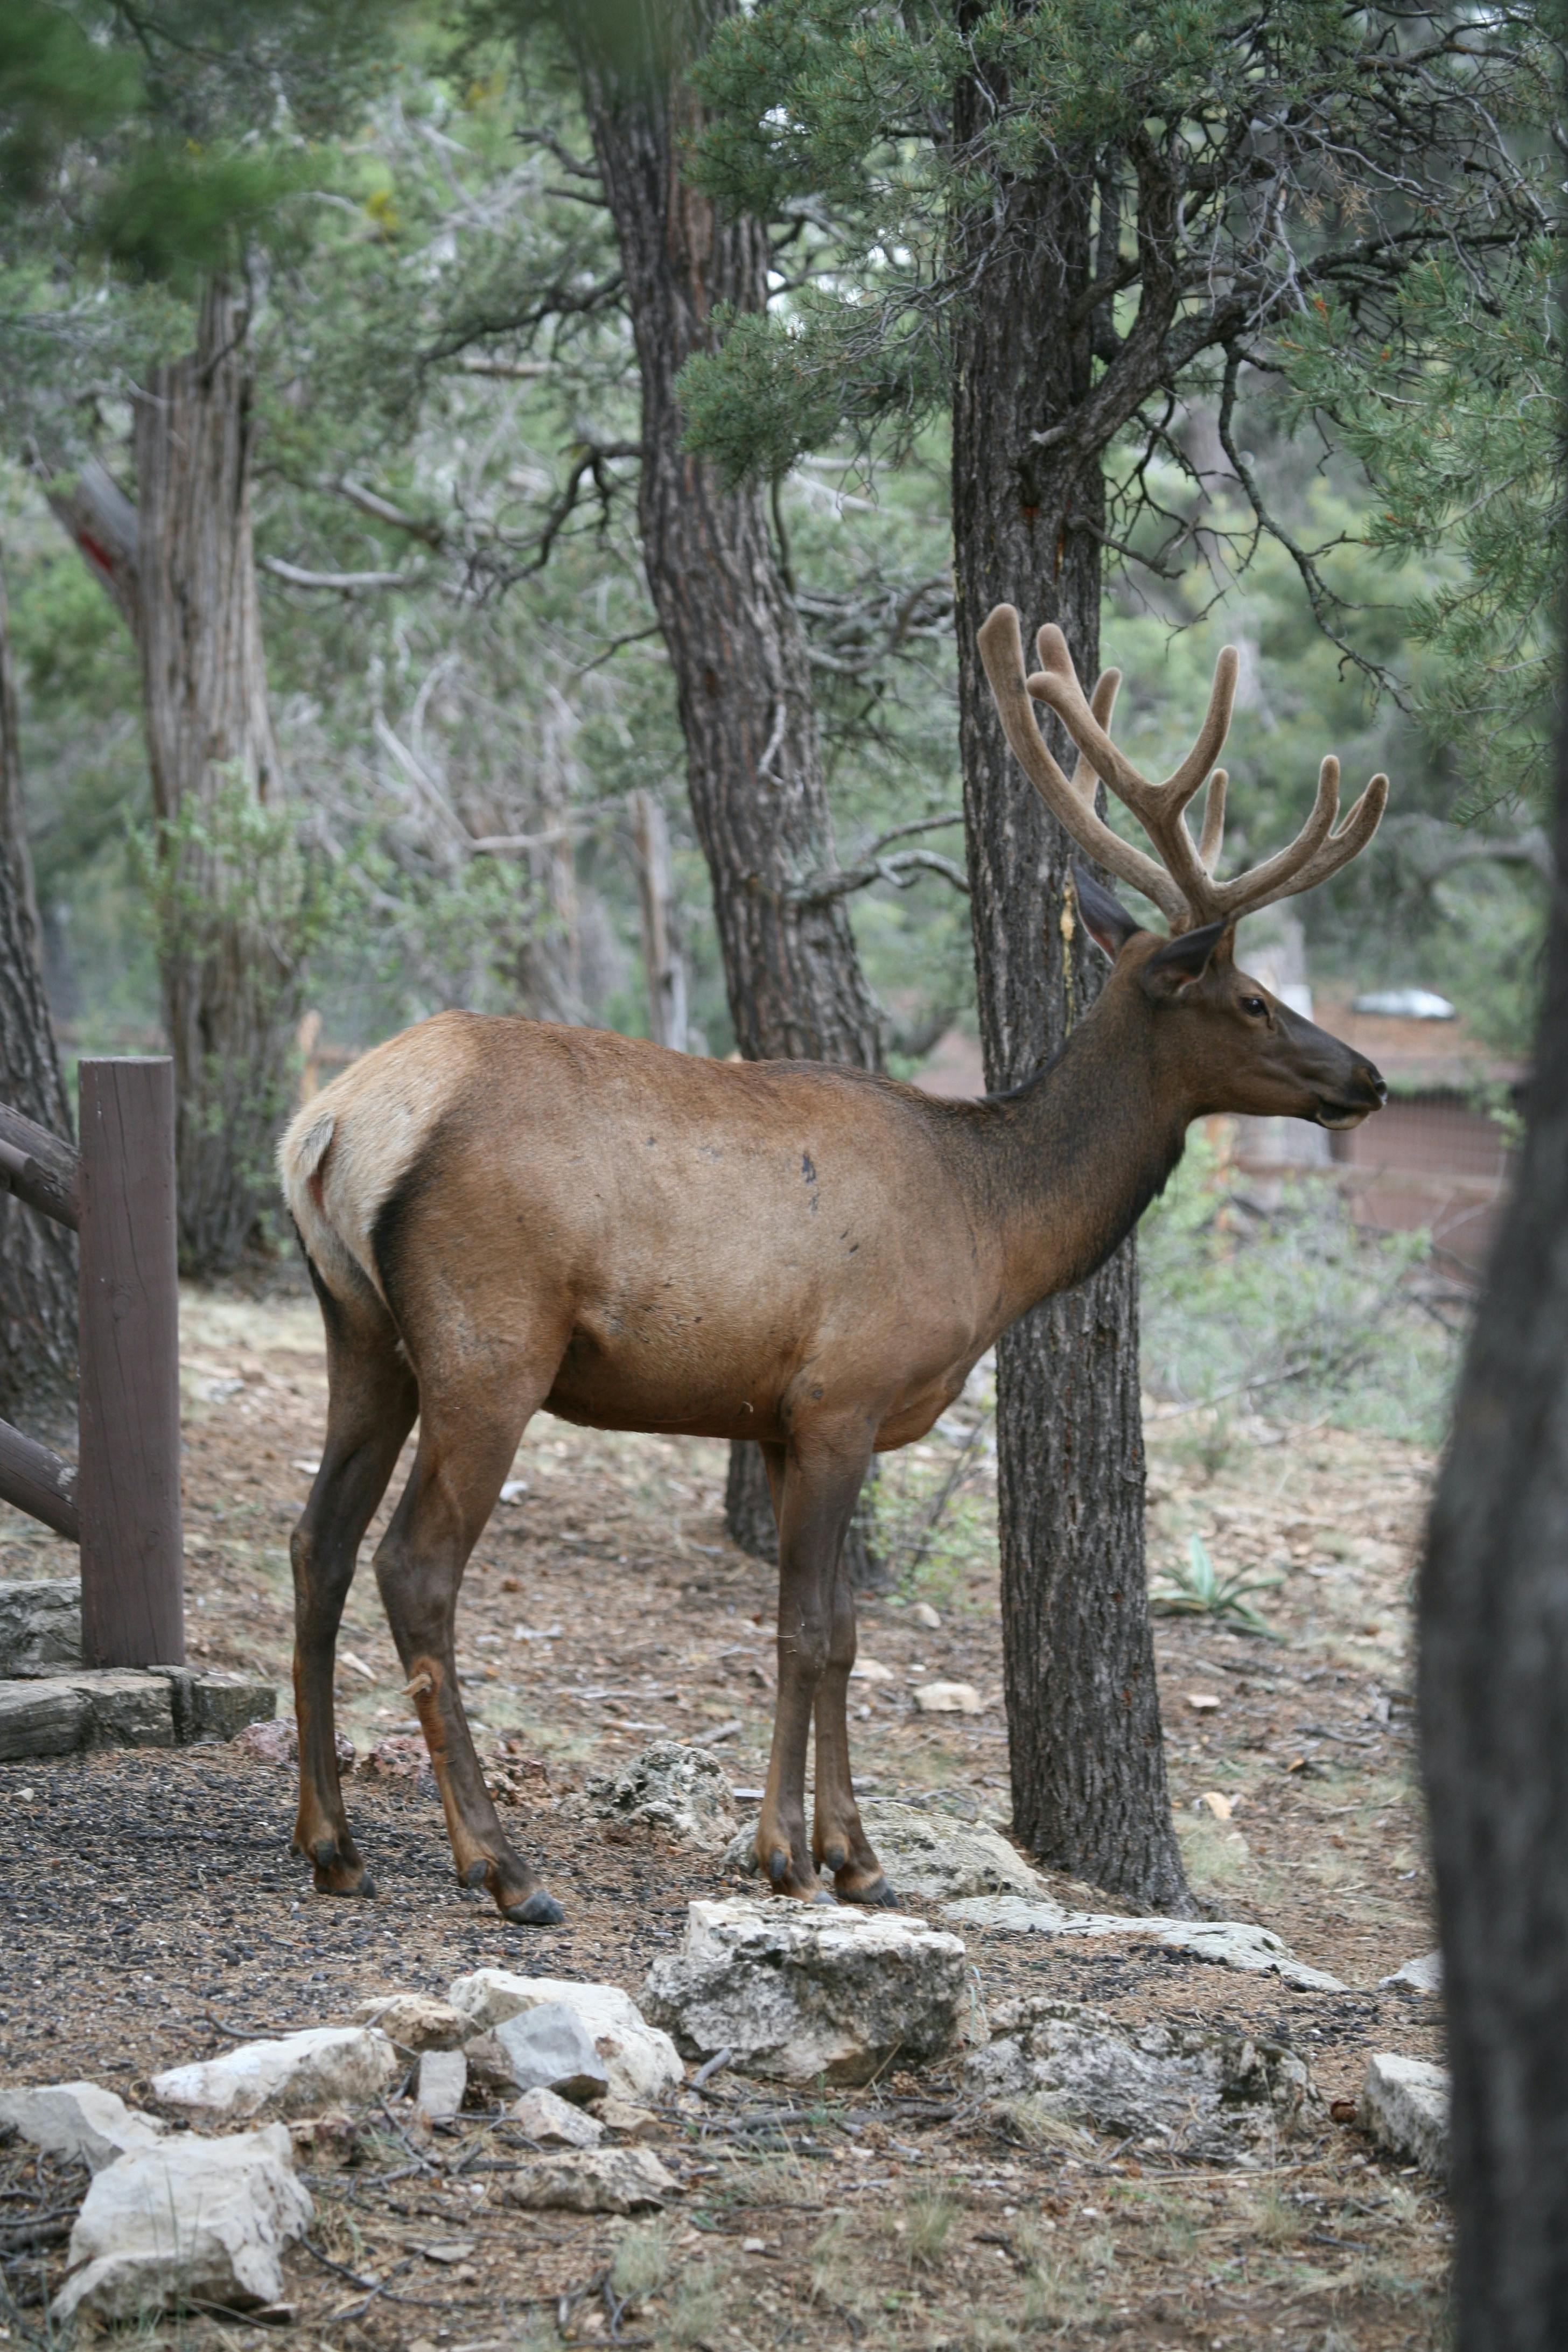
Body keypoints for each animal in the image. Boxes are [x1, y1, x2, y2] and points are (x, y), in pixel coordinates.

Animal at [279, 607, 1389, 1926]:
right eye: (1254, 998)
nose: (1369, 1077)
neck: (994, 1226)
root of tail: (334, 1121)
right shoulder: (842, 1395)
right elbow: (815, 1631)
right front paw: (793, 1853)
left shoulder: (774, 1414)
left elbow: (833, 1629)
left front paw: (849, 1851)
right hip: (486, 1341)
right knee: (413, 1565)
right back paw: (501, 1865)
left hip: (361, 1331)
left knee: (315, 1542)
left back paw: (329, 1841)